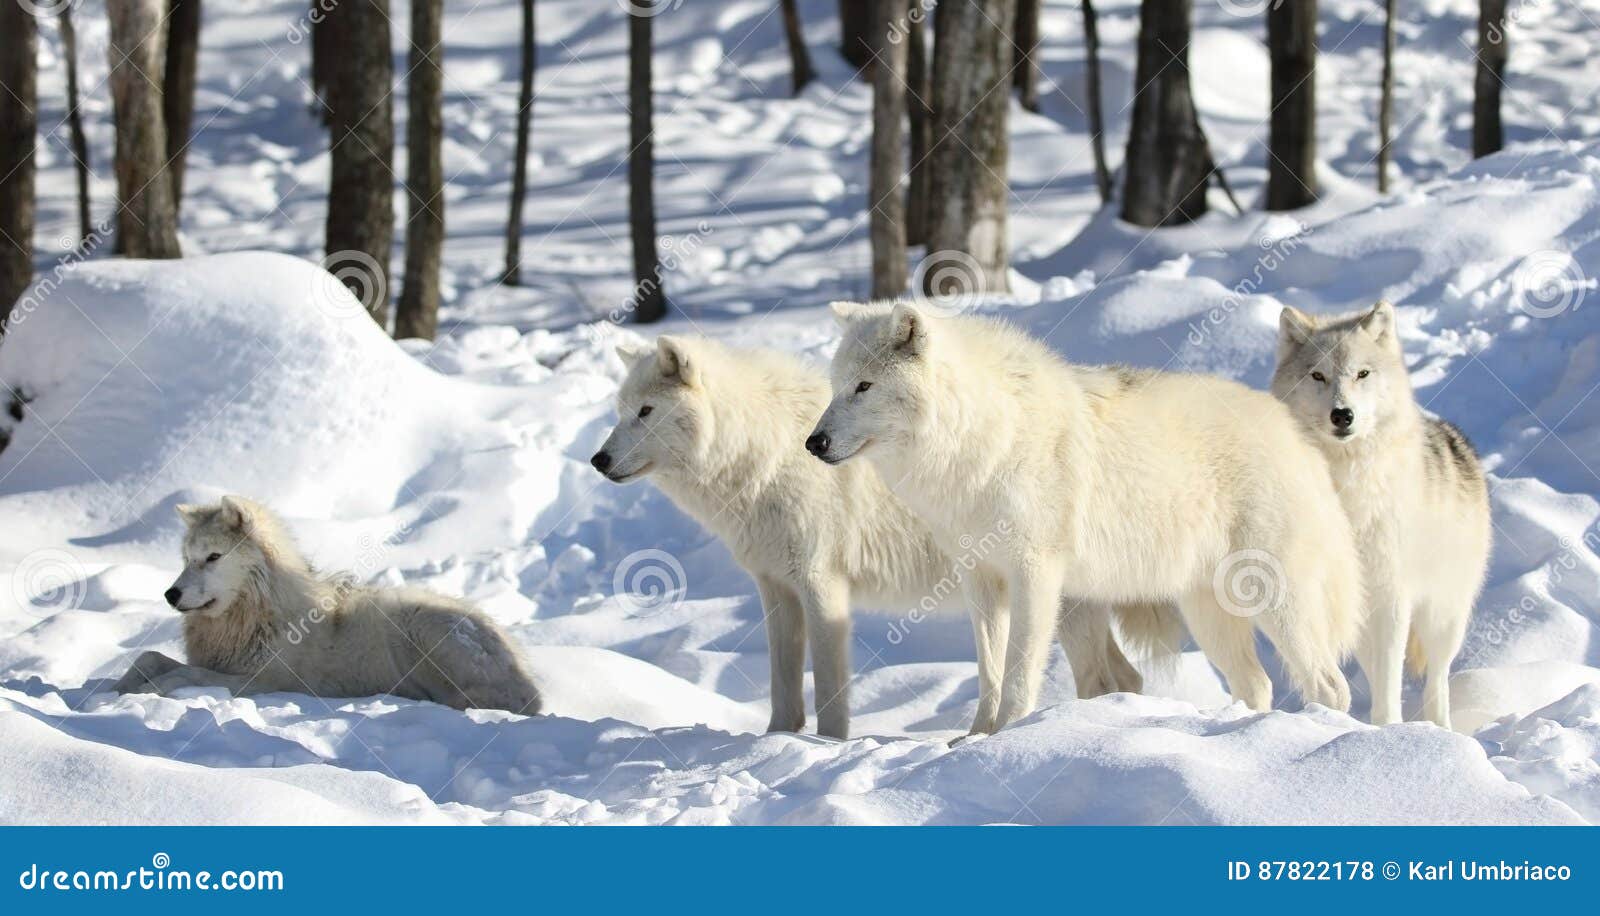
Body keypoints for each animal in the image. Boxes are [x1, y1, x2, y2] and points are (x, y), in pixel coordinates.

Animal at [113, 496, 542, 715]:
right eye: (187, 559)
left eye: (214, 557)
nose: (170, 595)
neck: (258, 614)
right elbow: (148, 658)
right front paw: (118, 687)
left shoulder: (262, 681)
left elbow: (183, 675)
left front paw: (156, 690)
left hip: (424, 626)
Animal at [591, 336, 1168, 739]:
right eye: (620, 413)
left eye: (646, 412)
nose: (597, 459)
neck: (761, 452)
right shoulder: (776, 589)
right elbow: (782, 688)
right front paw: (776, 741)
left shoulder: (822, 586)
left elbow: (828, 691)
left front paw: (826, 747)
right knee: (1125, 679)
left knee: (1104, 679)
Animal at [809, 302, 1364, 732]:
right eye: (835, 387)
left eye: (864, 386)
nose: (814, 443)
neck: (983, 436)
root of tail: (1299, 439)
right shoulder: (981, 577)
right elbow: (989, 672)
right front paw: (974, 738)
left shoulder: (1035, 573)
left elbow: (1018, 673)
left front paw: (1007, 734)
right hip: (1207, 613)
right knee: (1258, 683)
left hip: (1274, 602)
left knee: (1330, 686)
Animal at [1273, 301, 1491, 729]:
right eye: (1317, 375)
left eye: (1362, 373)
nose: (1342, 415)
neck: (1347, 486)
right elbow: (1375, 674)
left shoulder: (1392, 594)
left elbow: (1392, 675)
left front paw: (1388, 731)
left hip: (1443, 615)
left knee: (1437, 677)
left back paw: (1439, 729)